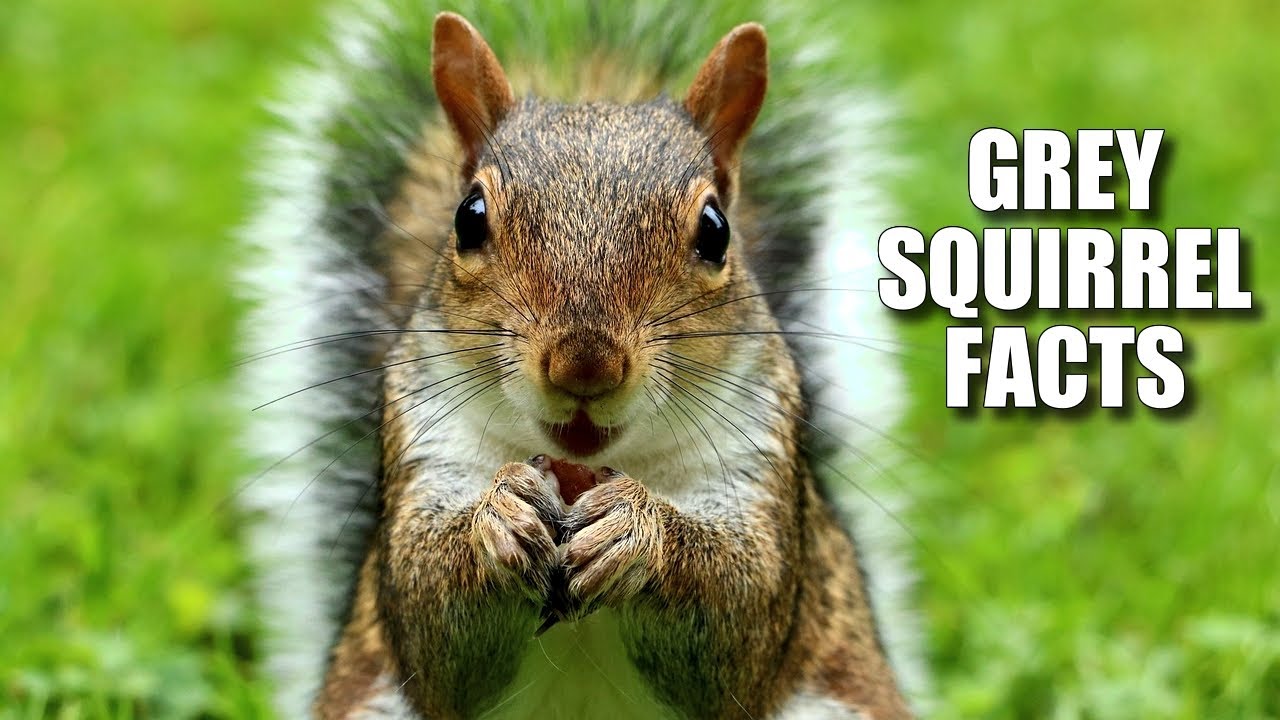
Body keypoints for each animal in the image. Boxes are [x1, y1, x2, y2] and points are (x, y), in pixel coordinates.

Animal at [238, 2, 922, 719]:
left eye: (715, 230)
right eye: (468, 217)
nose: (584, 366)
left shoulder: (758, 460)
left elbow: (742, 616)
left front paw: (636, 531)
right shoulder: (423, 441)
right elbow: (432, 627)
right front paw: (500, 515)